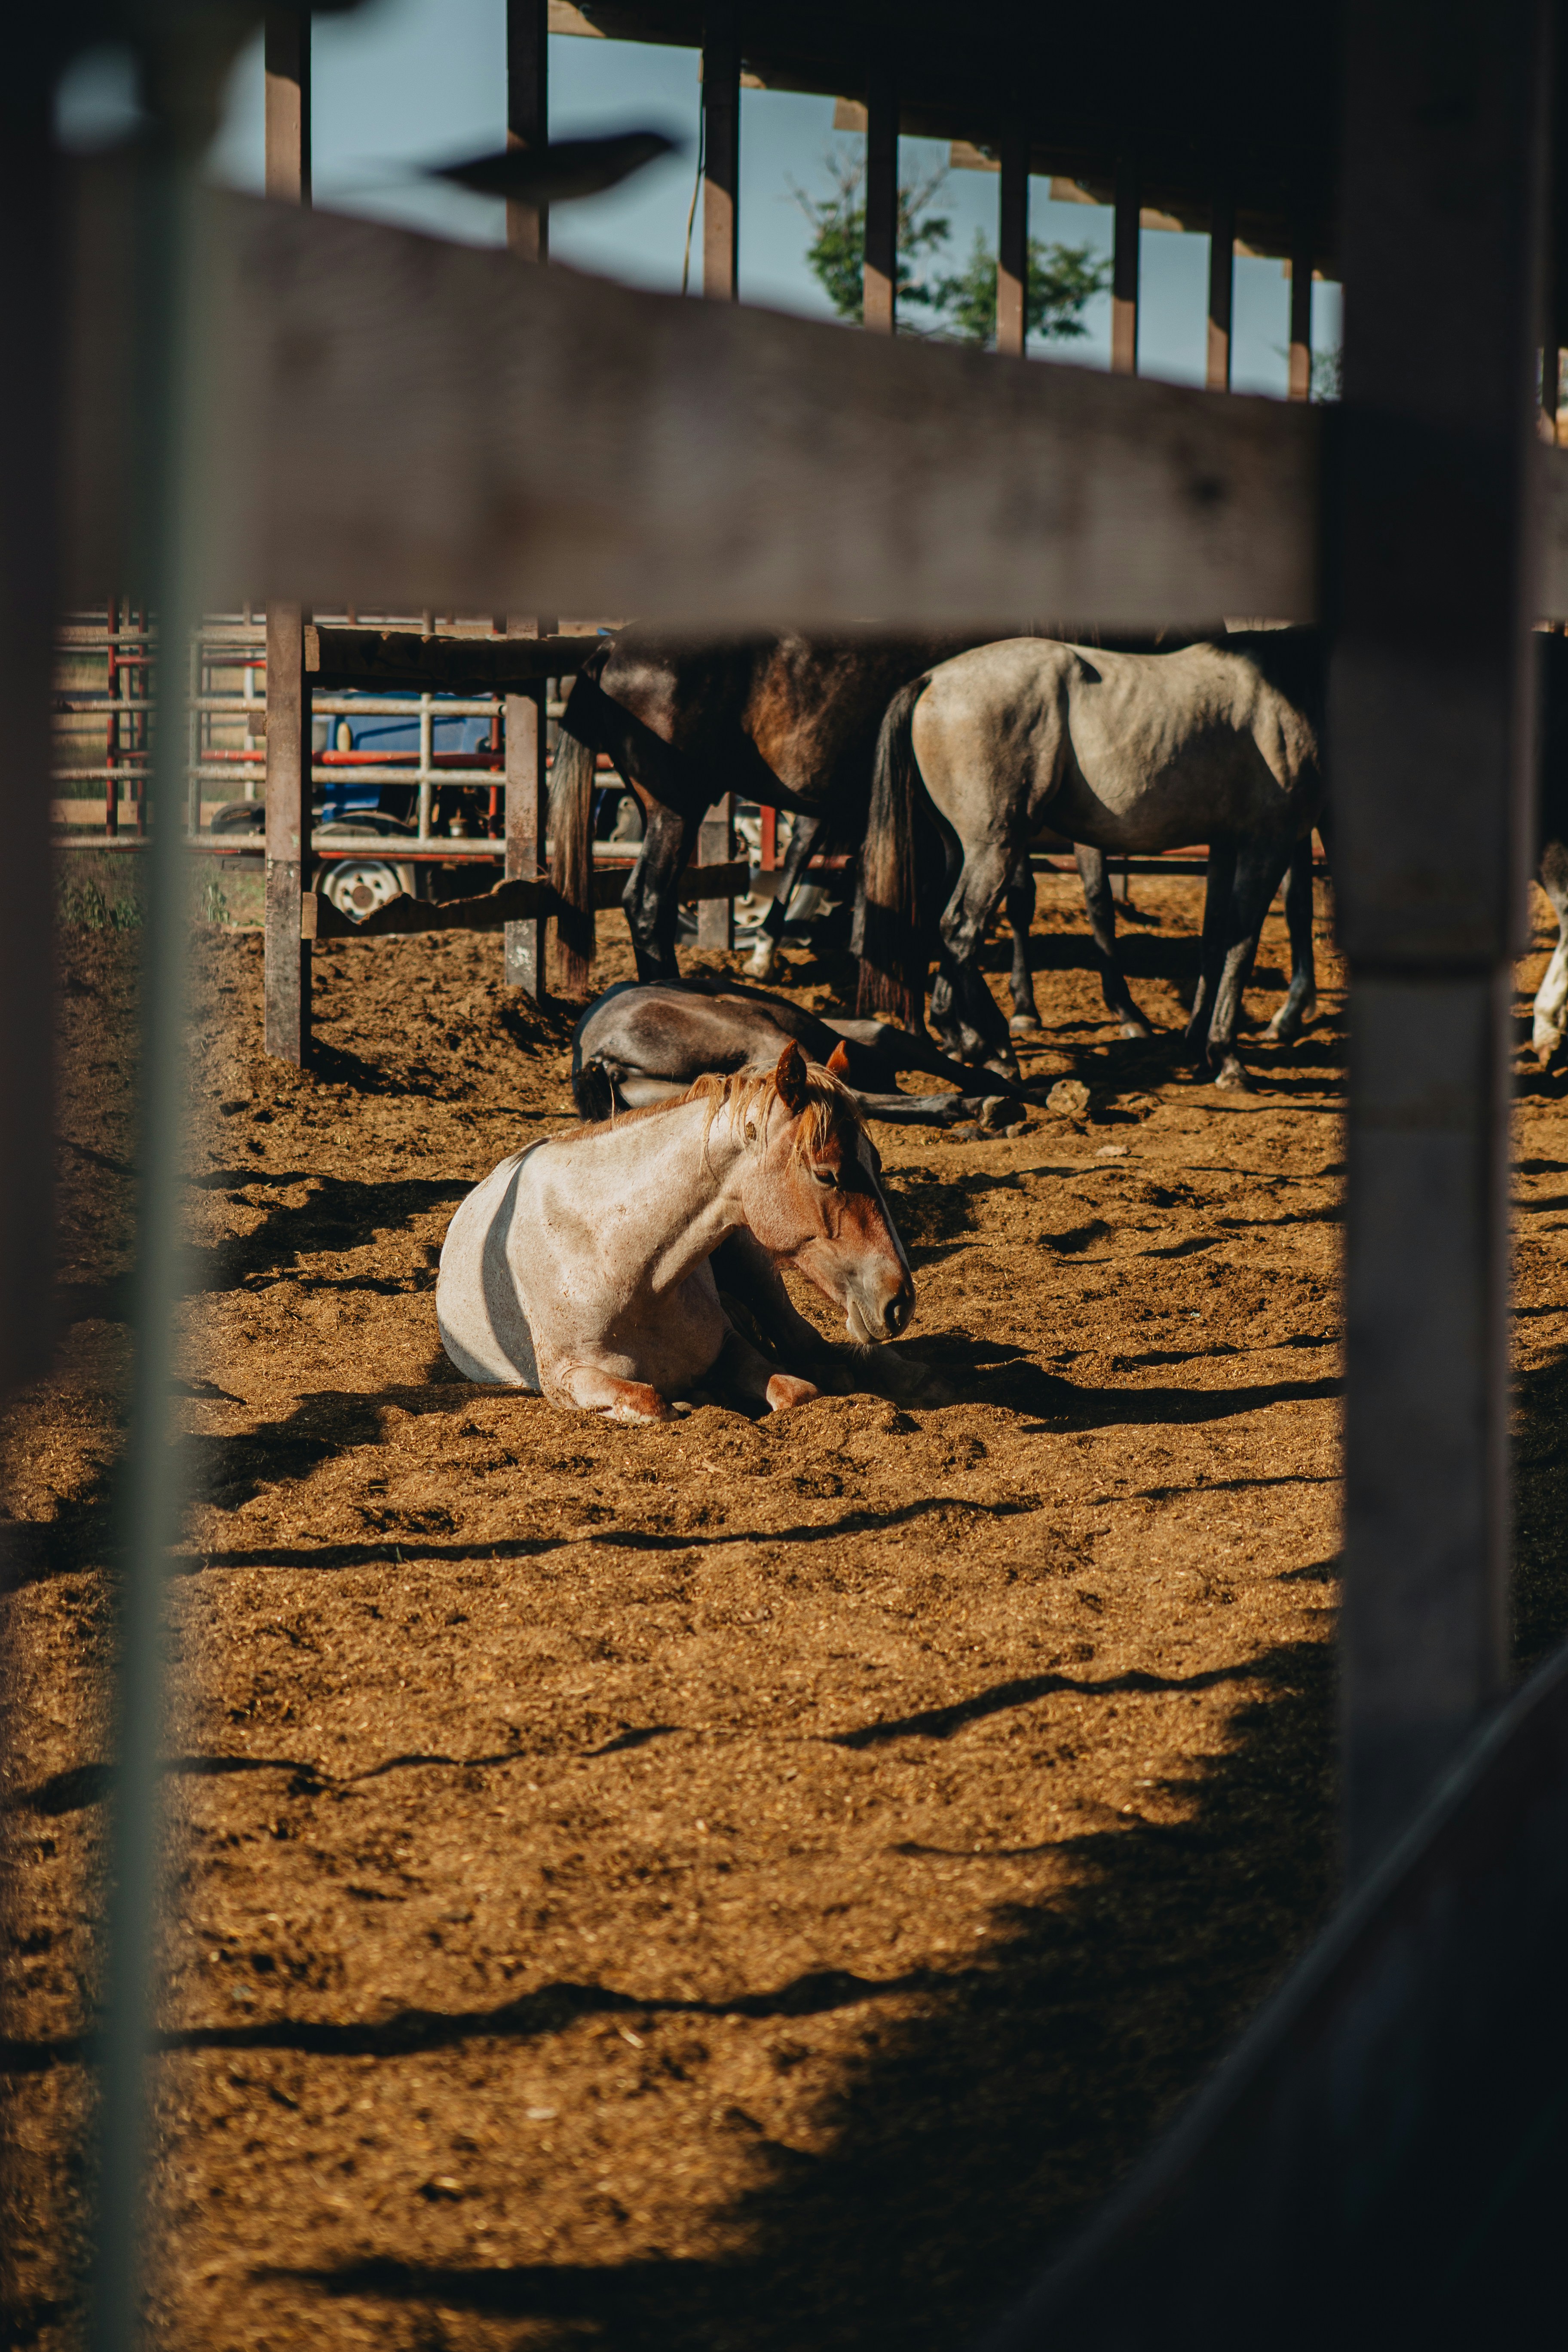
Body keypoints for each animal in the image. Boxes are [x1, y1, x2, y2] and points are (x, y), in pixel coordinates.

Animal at [437, 1041, 936, 1422]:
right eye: (826, 1174)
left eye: (877, 1164)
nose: (899, 1301)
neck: (614, 1258)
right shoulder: (567, 1378)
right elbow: (652, 1401)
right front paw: (694, 1399)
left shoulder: (728, 1345)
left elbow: (795, 1390)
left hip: (755, 1266)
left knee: (807, 1341)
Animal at [856, 629, 1327, 1088]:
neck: (1285, 688)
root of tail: (931, 680)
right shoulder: (1267, 843)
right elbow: (1242, 945)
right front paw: (1226, 1057)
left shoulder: (1224, 846)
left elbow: (1213, 943)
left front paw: (1197, 1046)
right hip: (995, 847)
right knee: (960, 930)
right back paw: (994, 1051)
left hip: (961, 849)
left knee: (941, 929)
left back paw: (959, 1038)